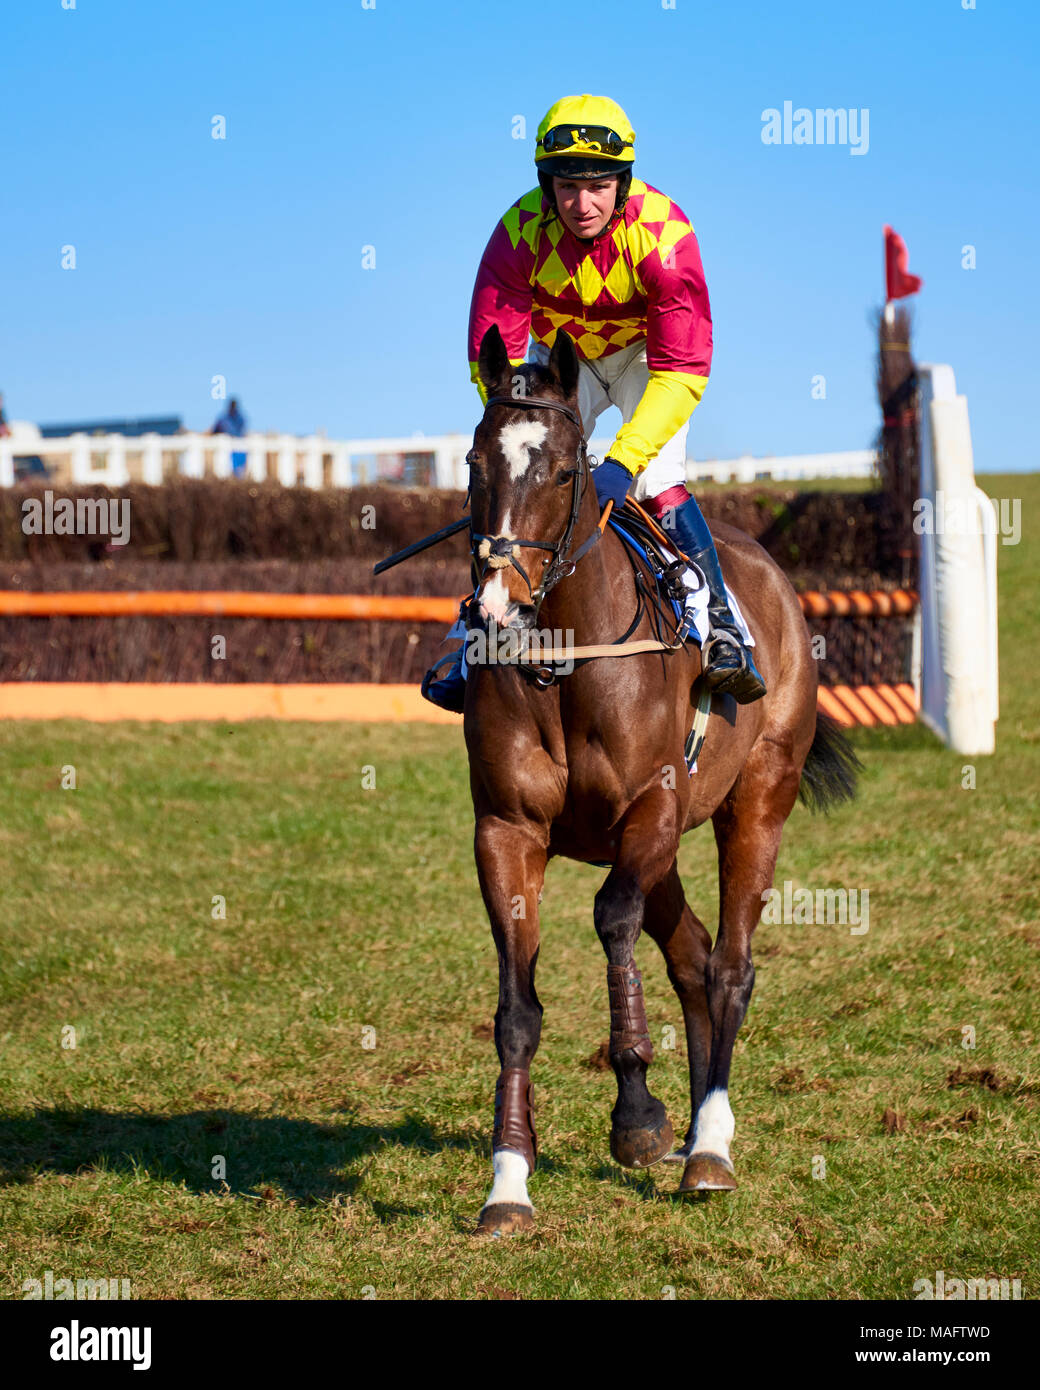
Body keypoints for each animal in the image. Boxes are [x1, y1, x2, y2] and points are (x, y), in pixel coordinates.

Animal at [460, 325, 859, 1235]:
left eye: (564, 473)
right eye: (473, 464)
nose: (498, 608)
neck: (566, 661)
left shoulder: (652, 806)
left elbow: (612, 919)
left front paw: (638, 1111)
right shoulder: (506, 829)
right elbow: (516, 1010)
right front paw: (509, 1181)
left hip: (755, 802)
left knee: (730, 965)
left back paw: (709, 1146)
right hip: (667, 845)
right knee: (692, 956)